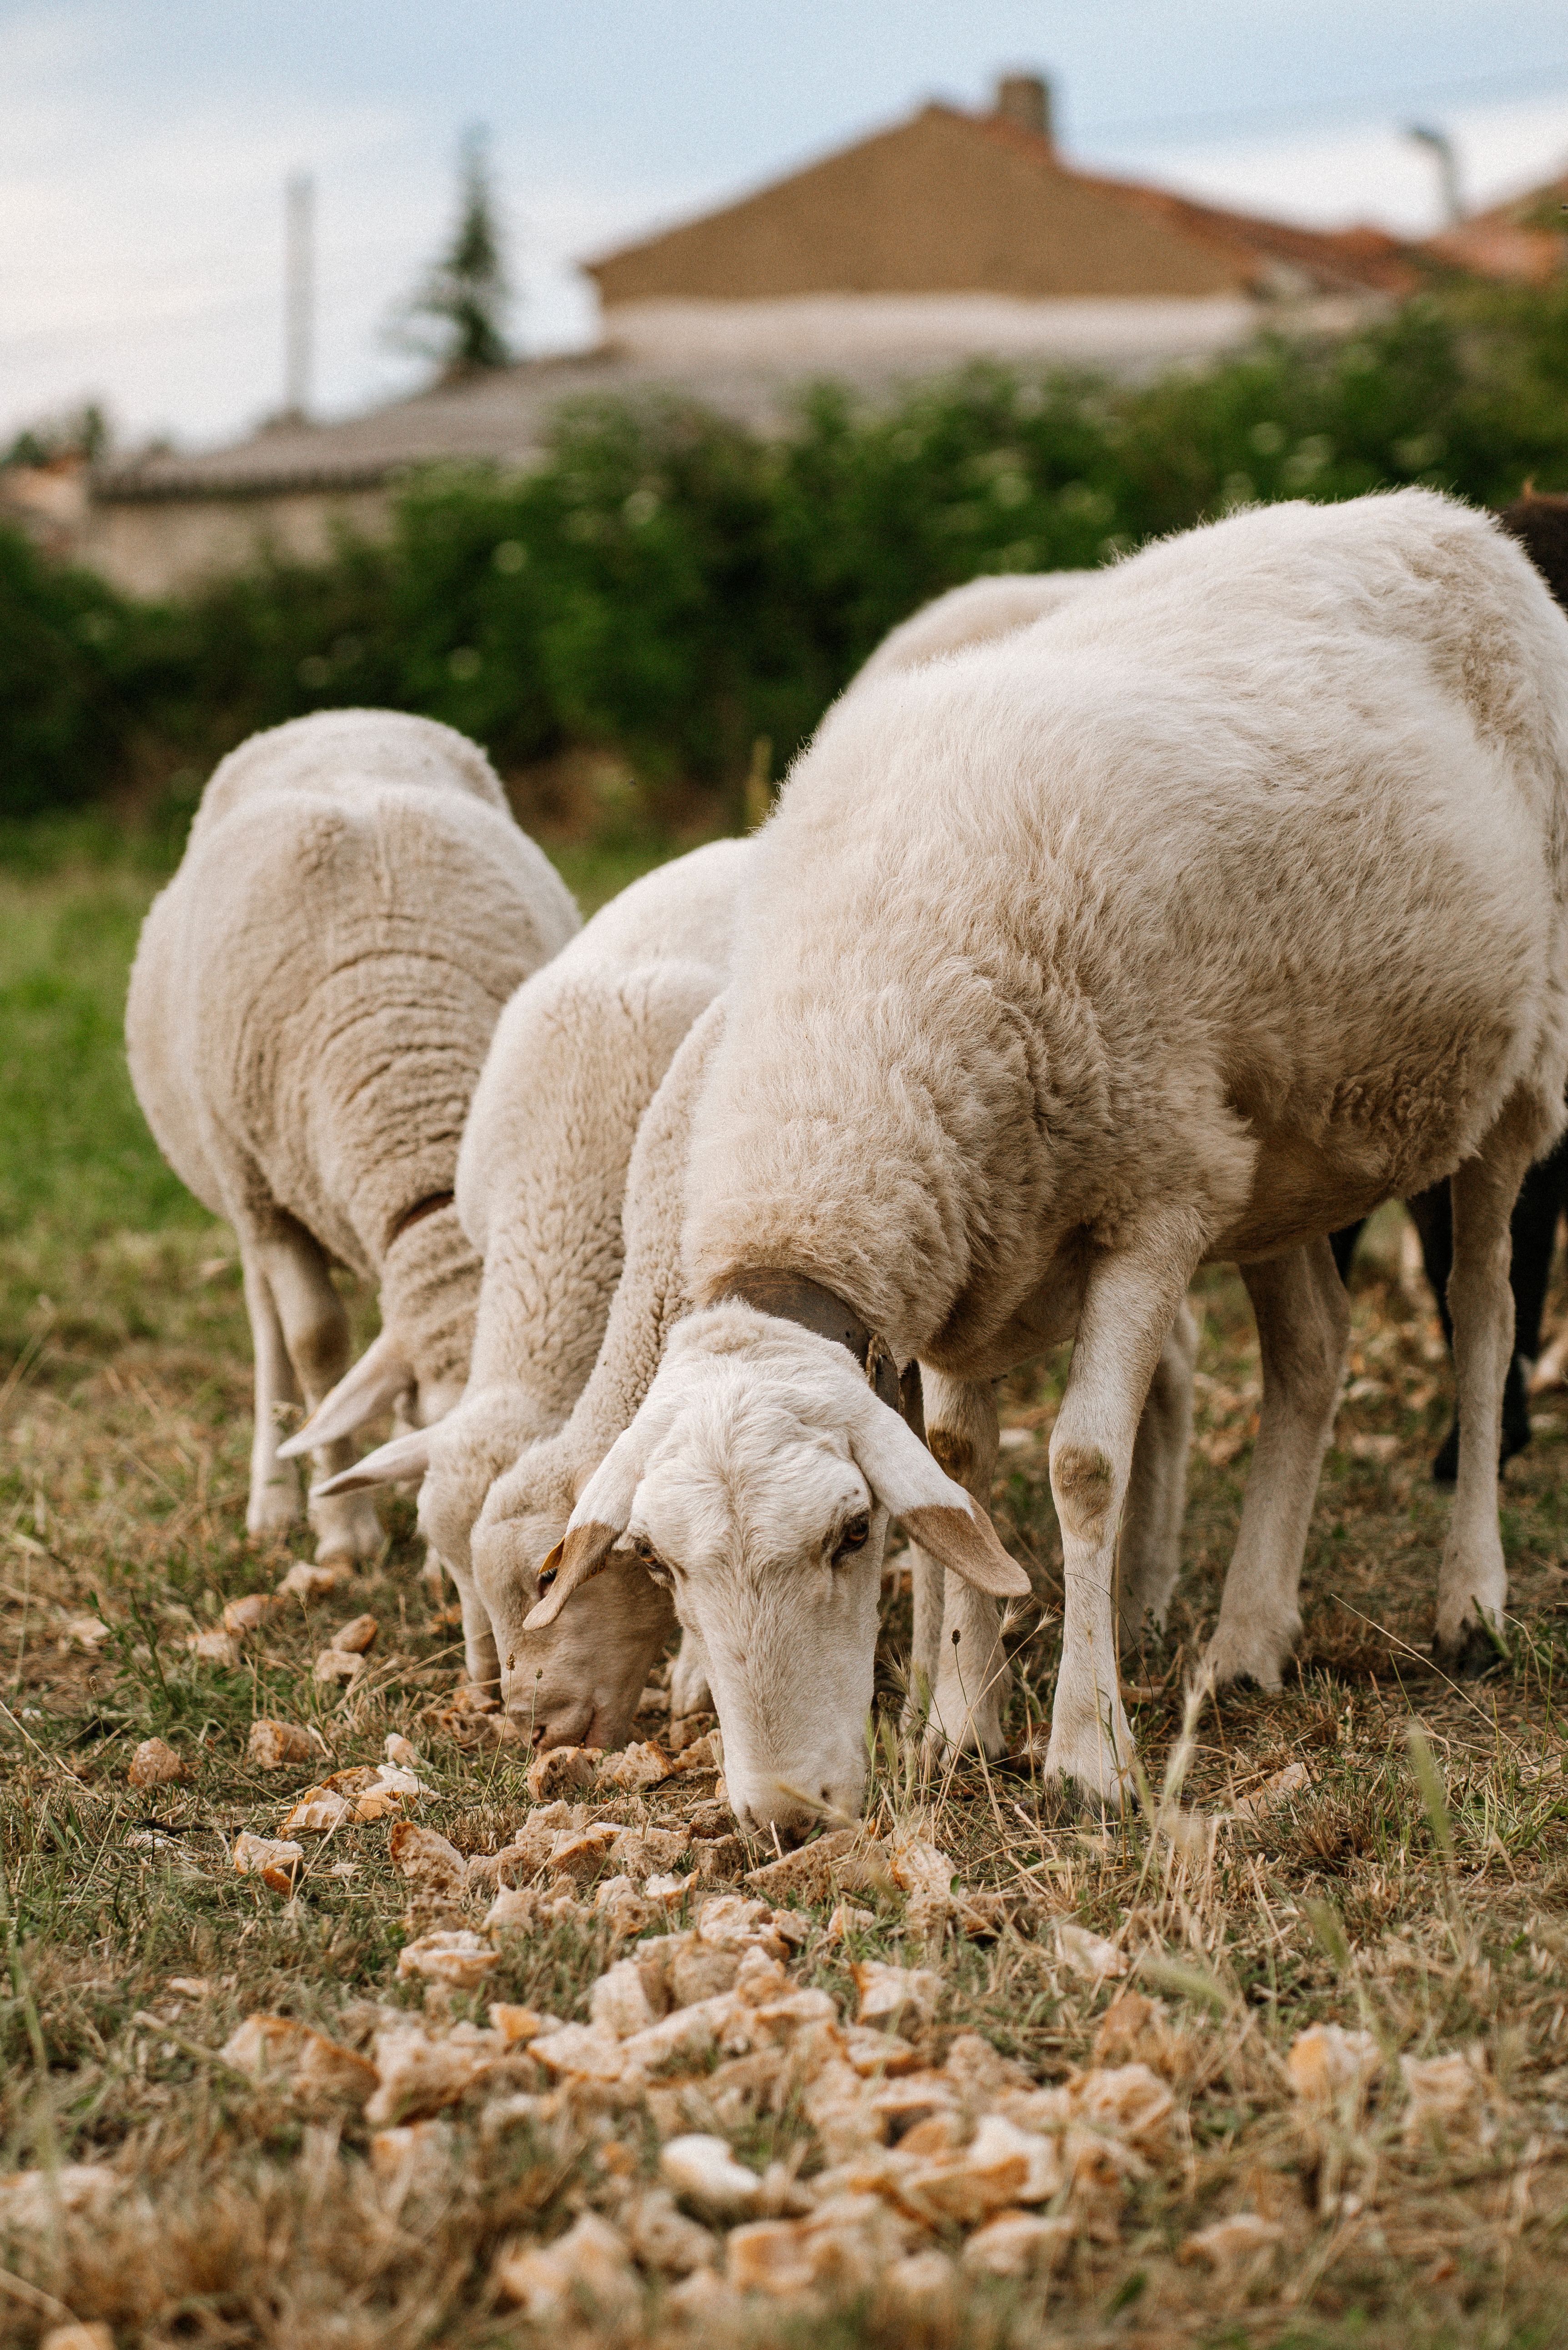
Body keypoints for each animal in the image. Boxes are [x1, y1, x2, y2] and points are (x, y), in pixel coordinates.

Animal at [126, 709, 578, 1565]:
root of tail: (333, 717)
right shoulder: (267, 1204)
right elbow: (316, 1343)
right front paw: (345, 1534)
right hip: (240, 1187)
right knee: (270, 1331)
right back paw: (274, 1500)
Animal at [524, 489, 1568, 1830]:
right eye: (661, 1562)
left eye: (850, 1537)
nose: (787, 1815)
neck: (856, 1035)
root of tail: (1457, 521)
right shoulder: (968, 1239)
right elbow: (966, 1467)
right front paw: (961, 1727)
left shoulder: (1155, 1201)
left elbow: (1080, 1466)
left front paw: (1088, 1755)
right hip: (1278, 1150)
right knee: (1312, 1353)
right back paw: (1247, 1640)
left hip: (1511, 1073)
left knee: (1483, 1310)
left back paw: (1468, 1601)